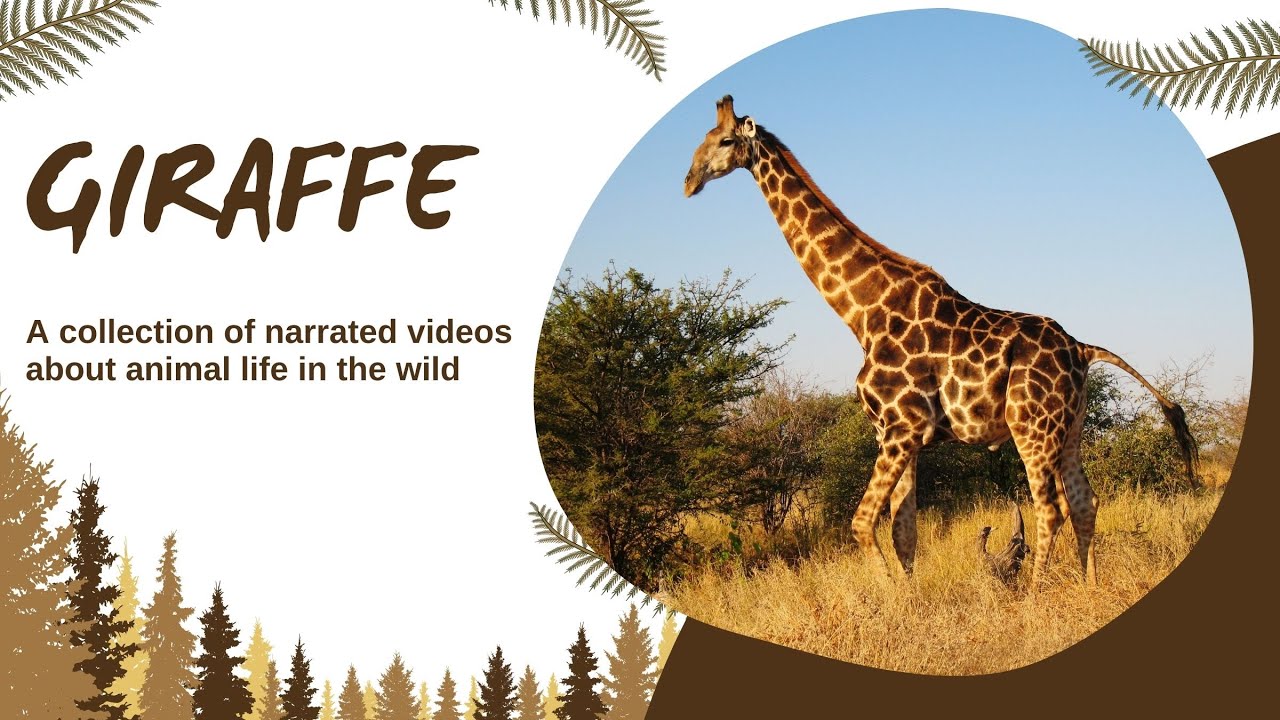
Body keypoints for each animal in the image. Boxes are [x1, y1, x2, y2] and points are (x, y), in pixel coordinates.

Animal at [683, 95, 1198, 585]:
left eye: (725, 141)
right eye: (703, 138)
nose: (688, 182)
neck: (862, 312)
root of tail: (1084, 350)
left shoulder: (902, 427)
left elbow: (862, 523)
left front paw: (889, 598)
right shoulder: (895, 432)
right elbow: (903, 531)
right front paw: (909, 602)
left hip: (1032, 427)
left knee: (1051, 509)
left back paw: (1035, 595)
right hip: (1069, 429)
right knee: (1085, 502)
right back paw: (1090, 587)